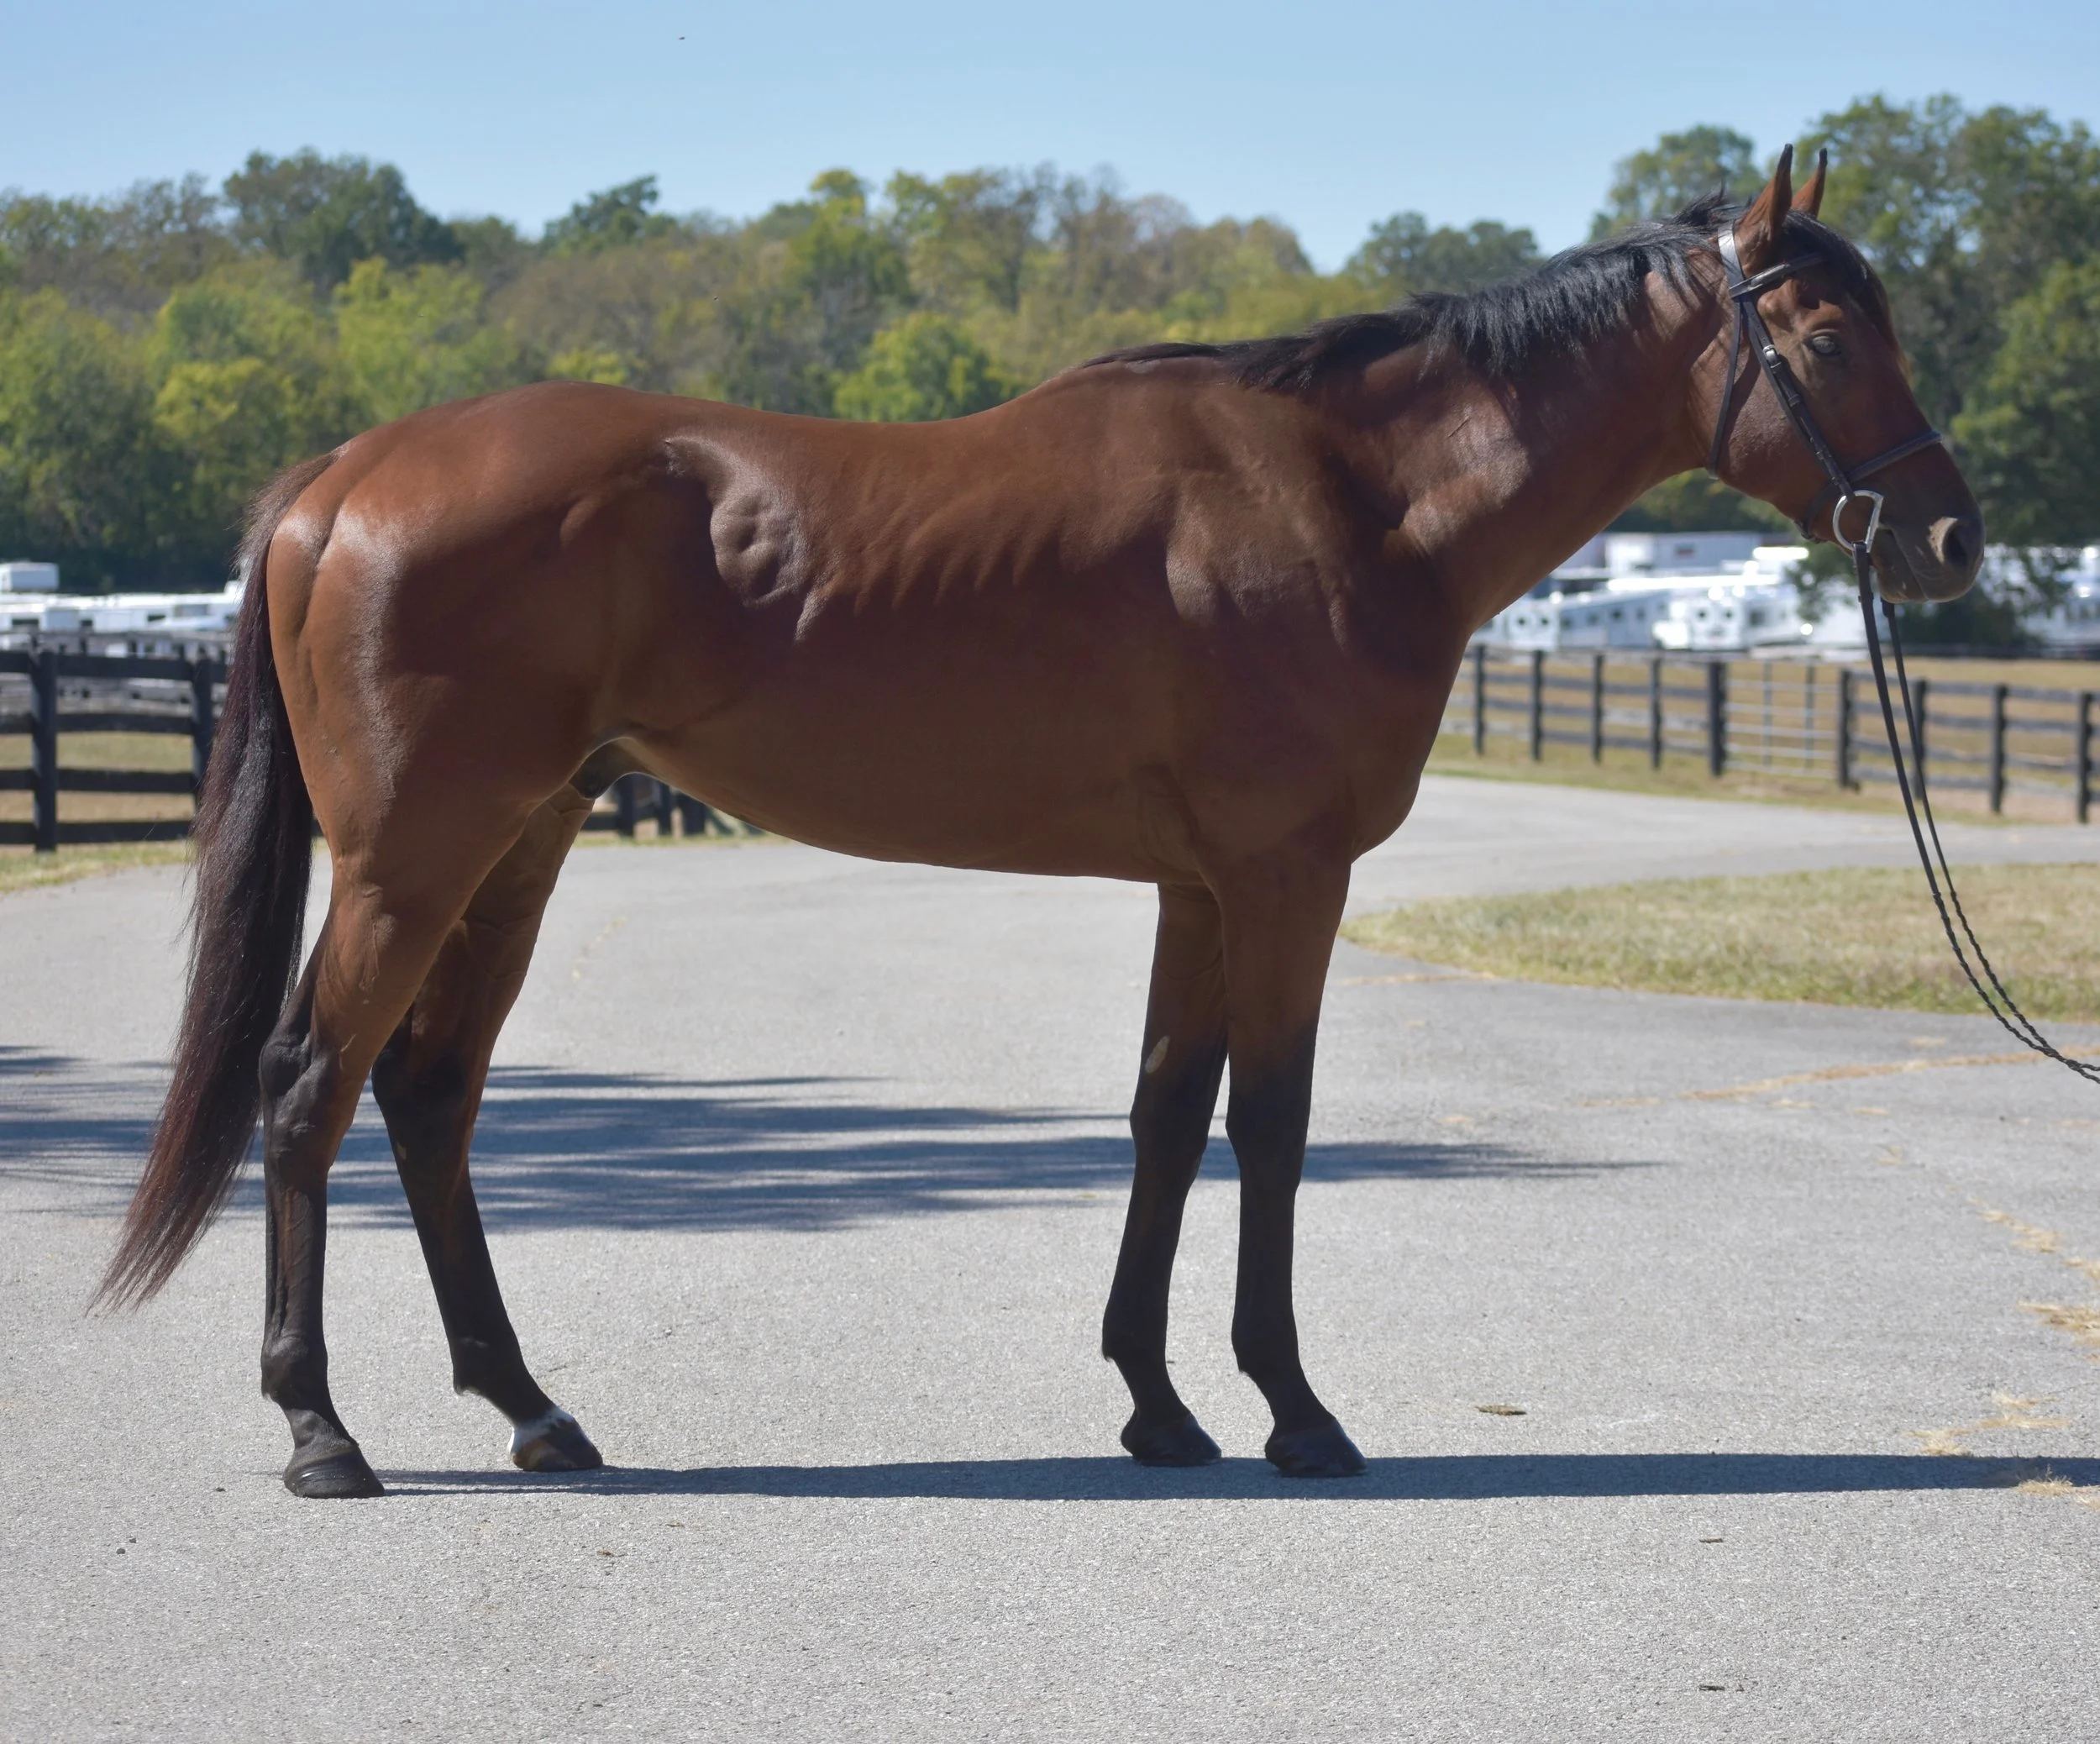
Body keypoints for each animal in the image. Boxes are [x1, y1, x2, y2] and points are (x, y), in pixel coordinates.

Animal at [99, 148, 1982, 1497]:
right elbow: (1271, 1125)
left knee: (425, 1098)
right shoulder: (1282, 880)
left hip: (522, 847)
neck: (1356, 500)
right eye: (1827, 338)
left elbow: (1163, 1117)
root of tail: (346, 479)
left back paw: (535, 1413)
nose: (1948, 542)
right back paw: (322, 1435)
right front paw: (1295, 1411)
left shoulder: (1199, 890)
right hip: (416, 857)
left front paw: (1157, 1405)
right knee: (307, 1086)